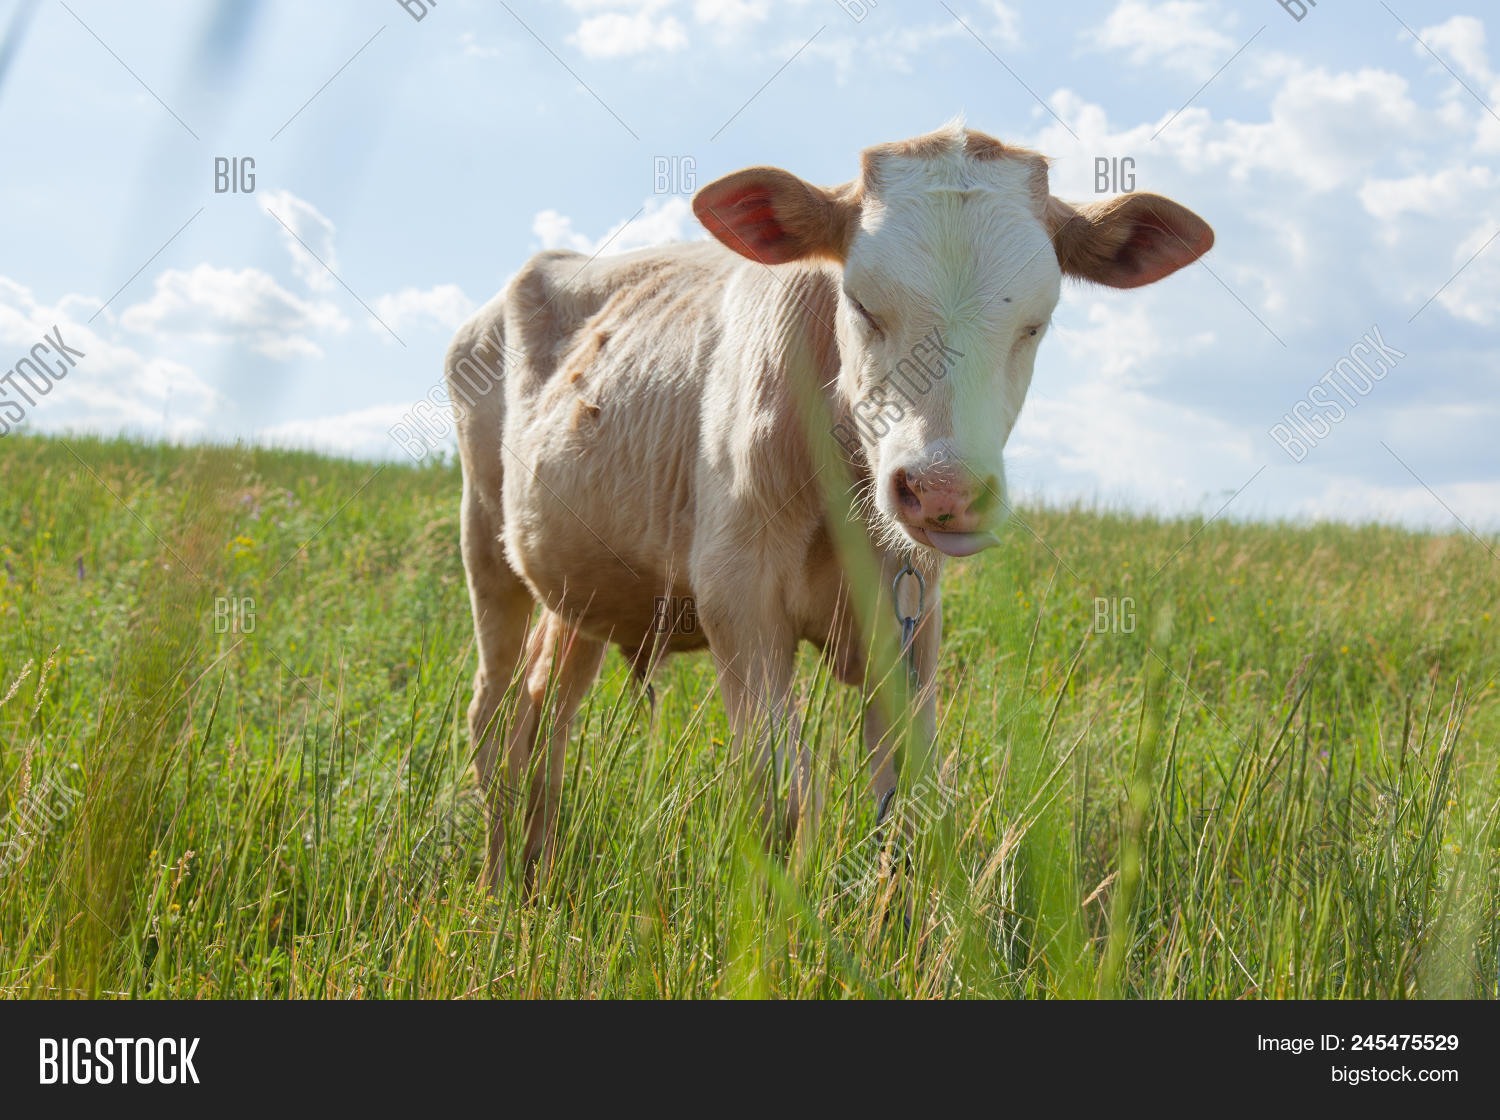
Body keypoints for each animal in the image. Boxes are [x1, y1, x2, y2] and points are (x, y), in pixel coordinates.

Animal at [444, 120, 1213, 889]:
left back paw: (534, 871)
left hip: (579, 589)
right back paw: (494, 882)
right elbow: (784, 795)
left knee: (543, 711)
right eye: (862, 304)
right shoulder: (738, 594)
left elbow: (910, 797)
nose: (943, 490)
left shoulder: (914, 620)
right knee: (491, 714)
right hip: (486, 547)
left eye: (1036, 322)